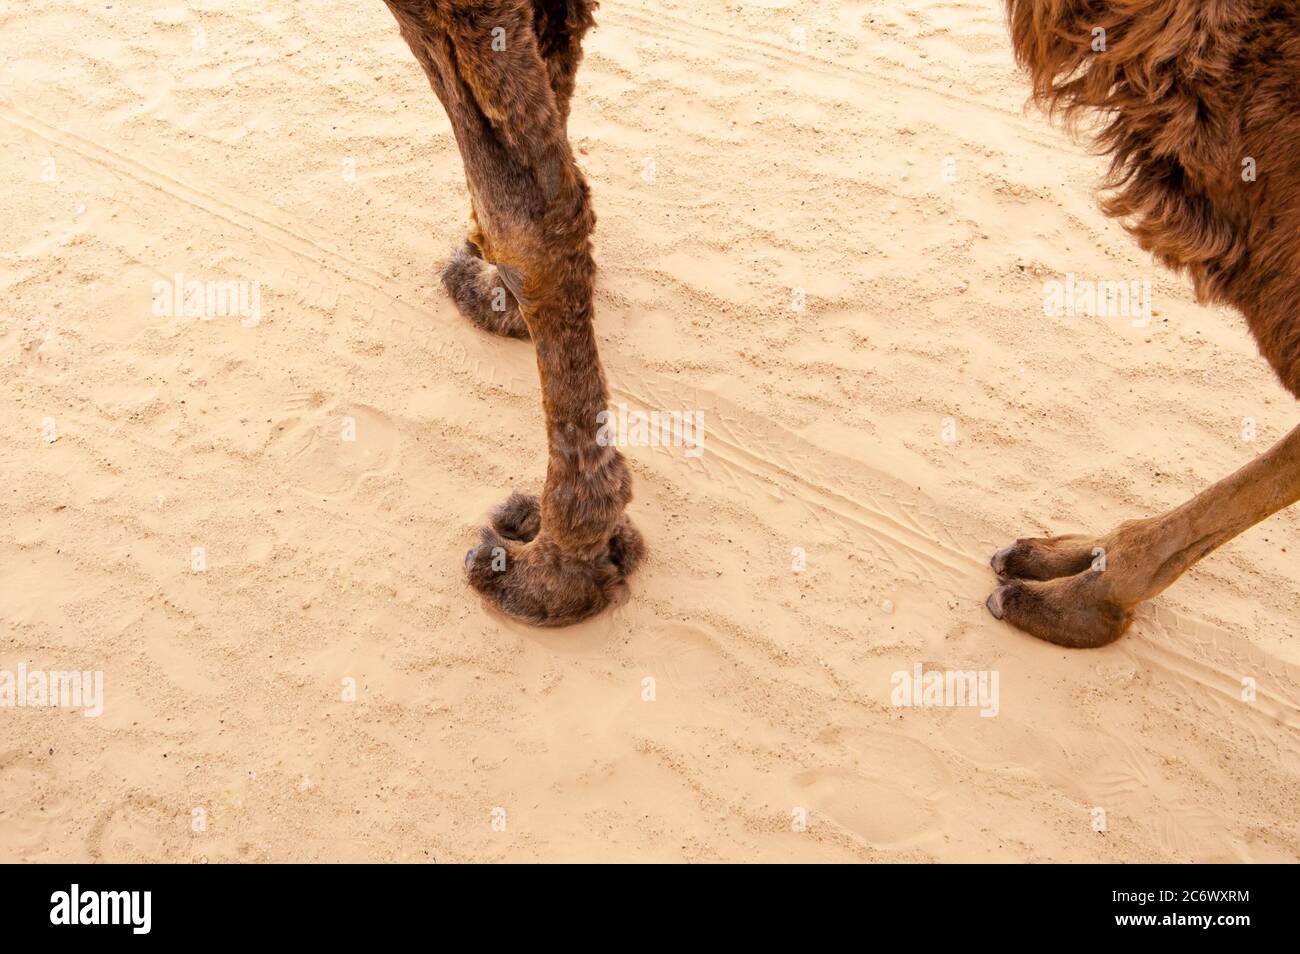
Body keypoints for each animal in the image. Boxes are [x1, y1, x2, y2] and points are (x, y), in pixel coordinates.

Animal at [381, 0, 1298, 645]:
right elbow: (549, 87)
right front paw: (490, 285)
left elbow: (536, 206)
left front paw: (557, 565)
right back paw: (1082, 575)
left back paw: (1081, 590)